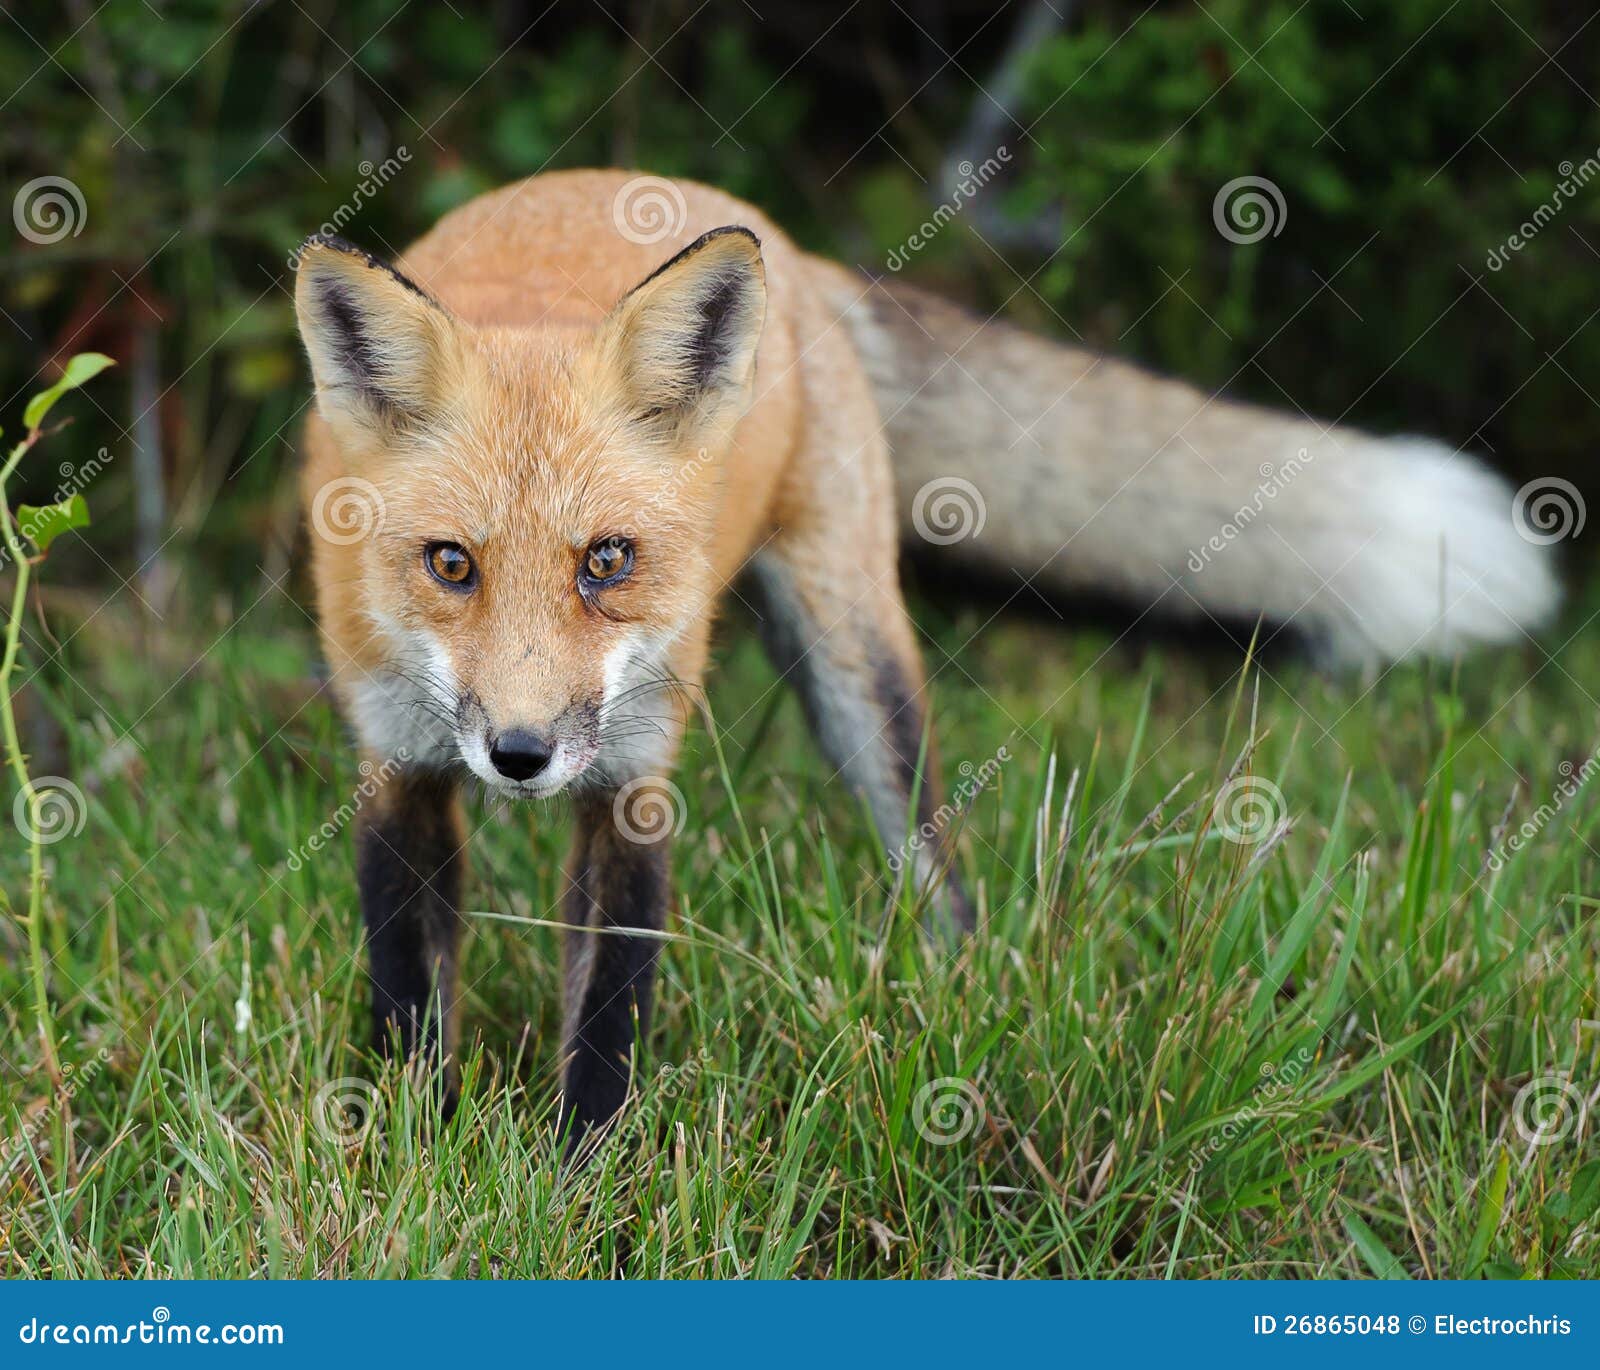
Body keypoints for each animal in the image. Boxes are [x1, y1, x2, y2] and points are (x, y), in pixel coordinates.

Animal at [293, 168, 1559, 1145]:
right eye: (450, 564)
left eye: (606, 560)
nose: (519, 755)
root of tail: (787, 245)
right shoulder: (395, 761)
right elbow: (408, 997)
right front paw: (416, 1157)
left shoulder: (633, 778)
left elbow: (607, 1018)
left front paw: (581, 1187)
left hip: (858, 666)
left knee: (932, 861)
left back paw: (958, 996)